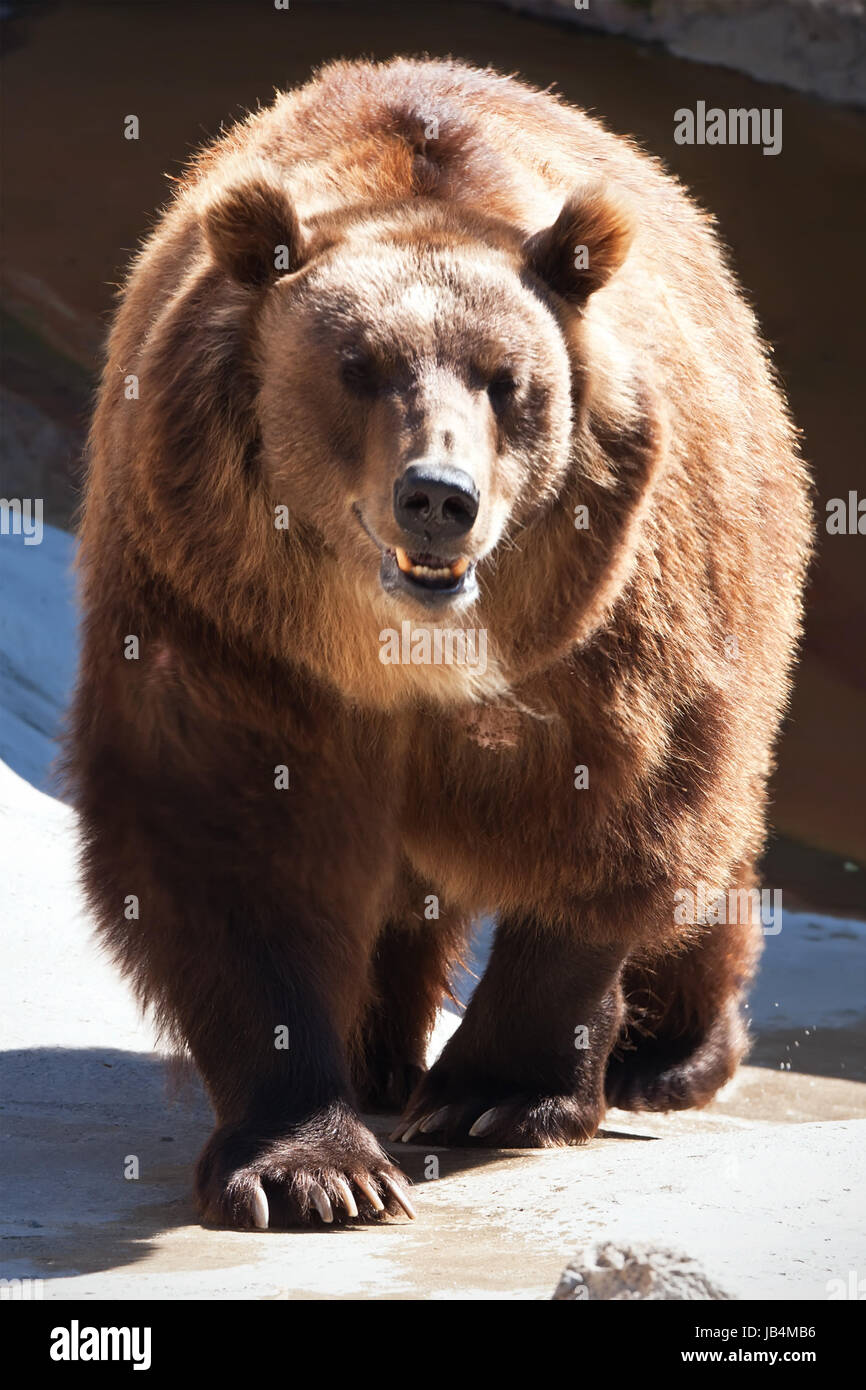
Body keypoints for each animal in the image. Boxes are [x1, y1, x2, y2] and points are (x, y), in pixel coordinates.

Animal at [67, 57, 812, 1229]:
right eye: (357, 366)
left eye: (508, 379)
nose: (438, 498)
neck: (394, 655)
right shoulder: (223, 620)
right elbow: (227, 839)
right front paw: (314, 1166)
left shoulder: (603, 626)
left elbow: (618, 808)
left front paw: (494, 1093)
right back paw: (379, 1057)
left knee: (712, 826)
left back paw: (668, 1053)